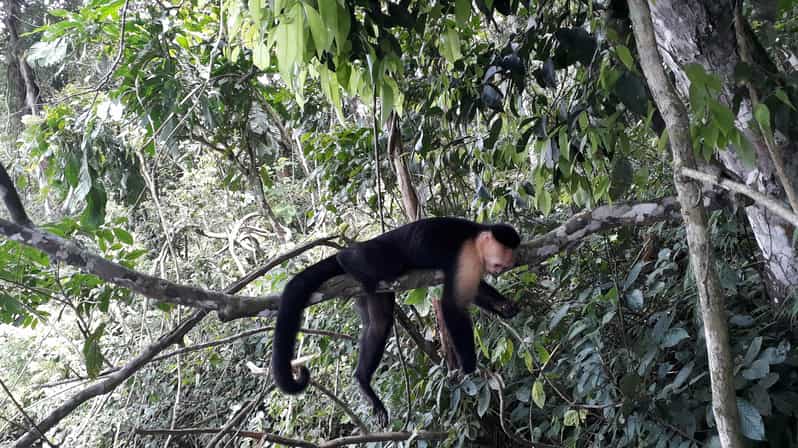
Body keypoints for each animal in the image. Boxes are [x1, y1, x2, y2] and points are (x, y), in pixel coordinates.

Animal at [271, 217, 521, 426]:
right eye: (499, 264)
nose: (498, 271)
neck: (476, 236)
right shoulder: (468, 257)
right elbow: (453, 305)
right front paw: (469, 366)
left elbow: (473, 292)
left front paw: (504, 306)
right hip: (379, 254)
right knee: (375, 264)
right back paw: (346, 259)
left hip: (366, 293)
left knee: (379, 323)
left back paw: (363, 380)